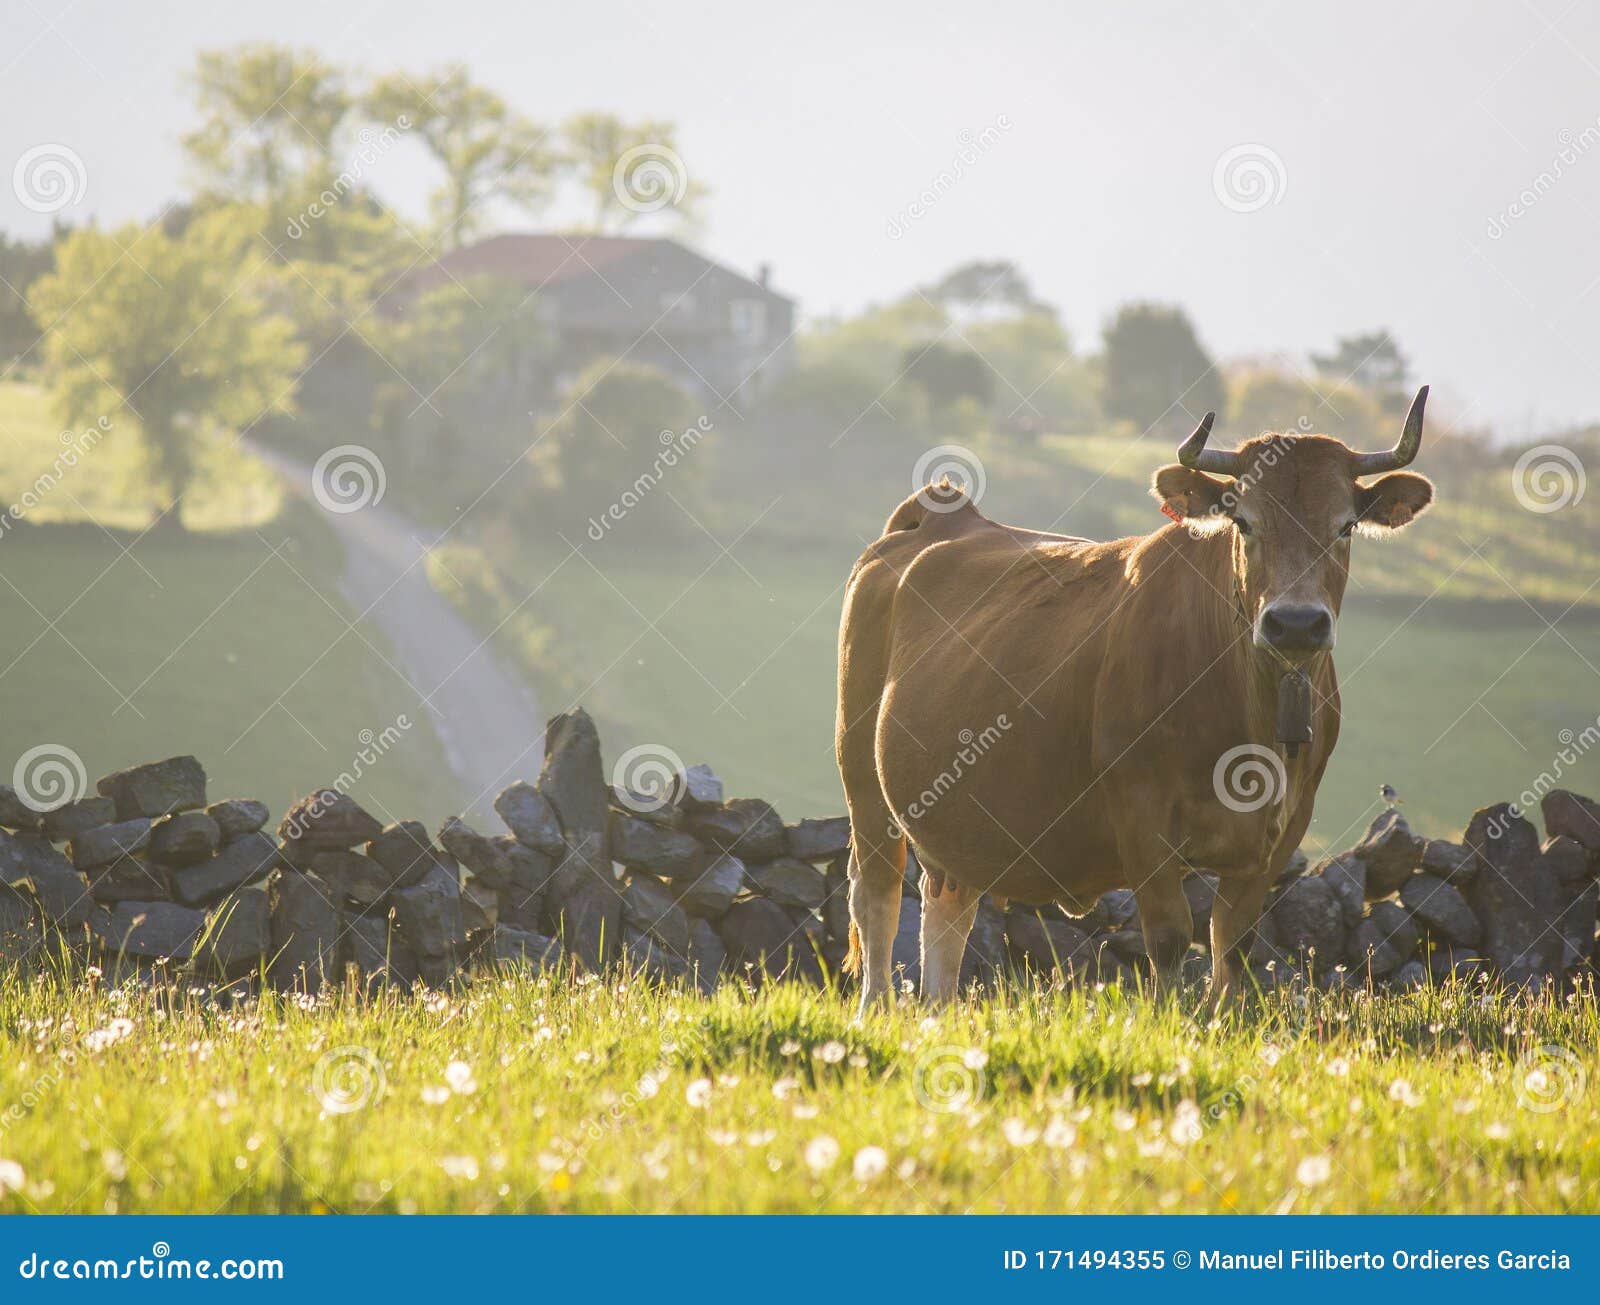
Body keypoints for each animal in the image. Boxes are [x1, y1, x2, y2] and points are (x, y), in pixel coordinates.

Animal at [836, 388, 1435, 1014]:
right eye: (1243, 521)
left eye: (1345, 527)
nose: (1295, 623)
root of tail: (946, 516)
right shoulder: (1141, 814)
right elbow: (1169, 937)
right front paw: (1169, 1021)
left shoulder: (1284, 826)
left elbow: (1232, 942)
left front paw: (1219, 1020)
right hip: (864, 783)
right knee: (876, 896)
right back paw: (876, 1005)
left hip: (953, 817)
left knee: (947, 908)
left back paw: (937, 1010)